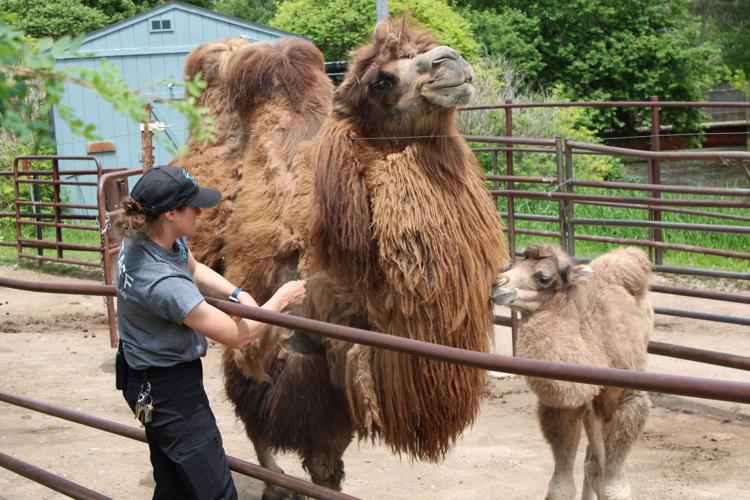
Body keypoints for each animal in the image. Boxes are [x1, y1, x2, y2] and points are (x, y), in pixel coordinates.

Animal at [172, 18, 509, 497]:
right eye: (381, 80)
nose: (451, 61)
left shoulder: (350, 360)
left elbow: (327, 460)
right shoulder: (296, 346)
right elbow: (297, 439)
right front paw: (281, 485)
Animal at [492, 245, 653, 500]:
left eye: (543, 277)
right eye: (517, 262)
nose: (497, 283)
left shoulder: (629, 399)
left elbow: (614, 487)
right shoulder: (563, 406)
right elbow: (562, 487)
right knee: (592, 463)